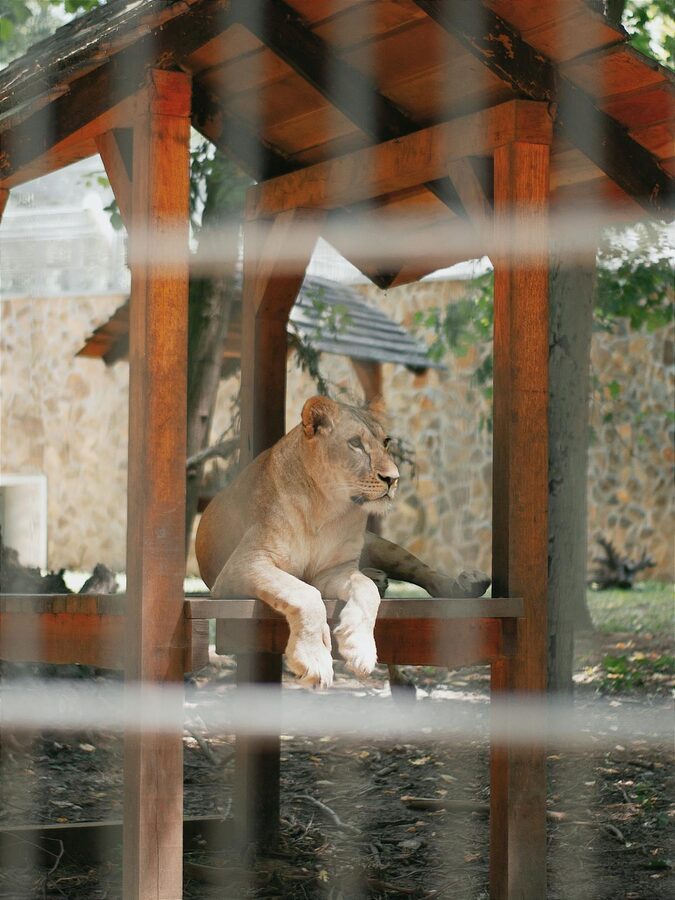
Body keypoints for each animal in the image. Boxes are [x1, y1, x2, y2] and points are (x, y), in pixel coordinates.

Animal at [196, 395, 490, 688]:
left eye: (386, 442)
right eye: (355, 444)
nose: (393, 478)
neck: (325, 506)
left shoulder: (335, 570)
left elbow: (366, 590)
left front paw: (360, 648)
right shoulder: (244, 565)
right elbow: (305, 593)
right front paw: (313, 659)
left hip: (380, 545)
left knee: (423, 573)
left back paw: (465, 584)